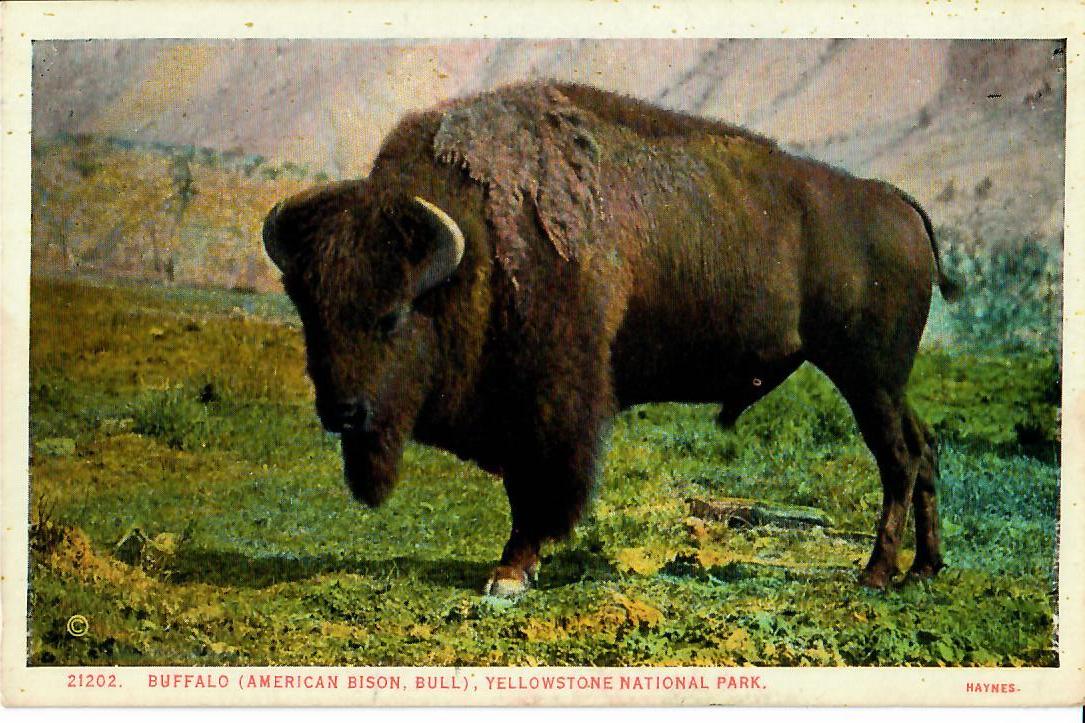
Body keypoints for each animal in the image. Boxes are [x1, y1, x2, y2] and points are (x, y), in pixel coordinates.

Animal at [263, 82, 959, 596]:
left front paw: (509, 573)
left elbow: (541, 489)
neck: (475, 249)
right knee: (925, 448)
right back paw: (924, 570)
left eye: (392, 316)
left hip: (865, 377)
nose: (341, 412)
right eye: (308, 311)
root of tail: (895, 202)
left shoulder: (553, 405)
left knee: (898, 458)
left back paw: (874, 576)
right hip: (887, 382)